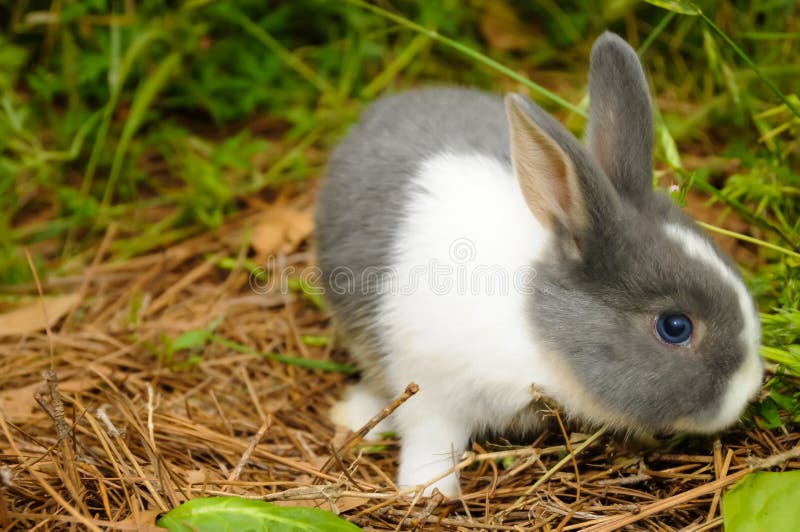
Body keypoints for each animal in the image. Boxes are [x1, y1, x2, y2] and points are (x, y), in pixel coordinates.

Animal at [314, 32, 764, 498]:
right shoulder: (431, 393)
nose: (748, 389)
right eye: (675, 327)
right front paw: (427, 494)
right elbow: (431, 446)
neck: (534, 330)